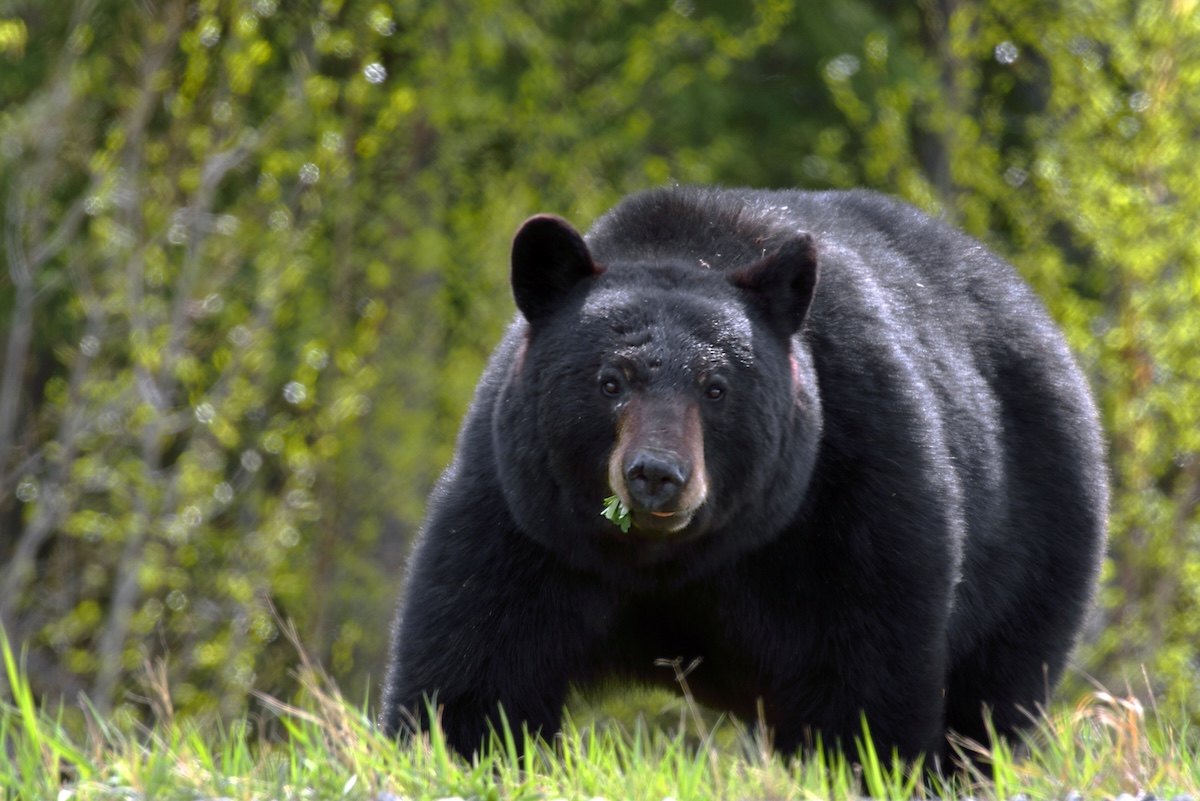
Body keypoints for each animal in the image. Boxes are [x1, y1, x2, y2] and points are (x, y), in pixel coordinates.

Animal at [381, 185, 1108, 767]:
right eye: (610, 381)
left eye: (717, 387)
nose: (656, 476)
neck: (668, 560)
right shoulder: (524, 513)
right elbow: (477, 665)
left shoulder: (850, 492)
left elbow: (863, 673)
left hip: (1039, 538)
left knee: (990, 704)